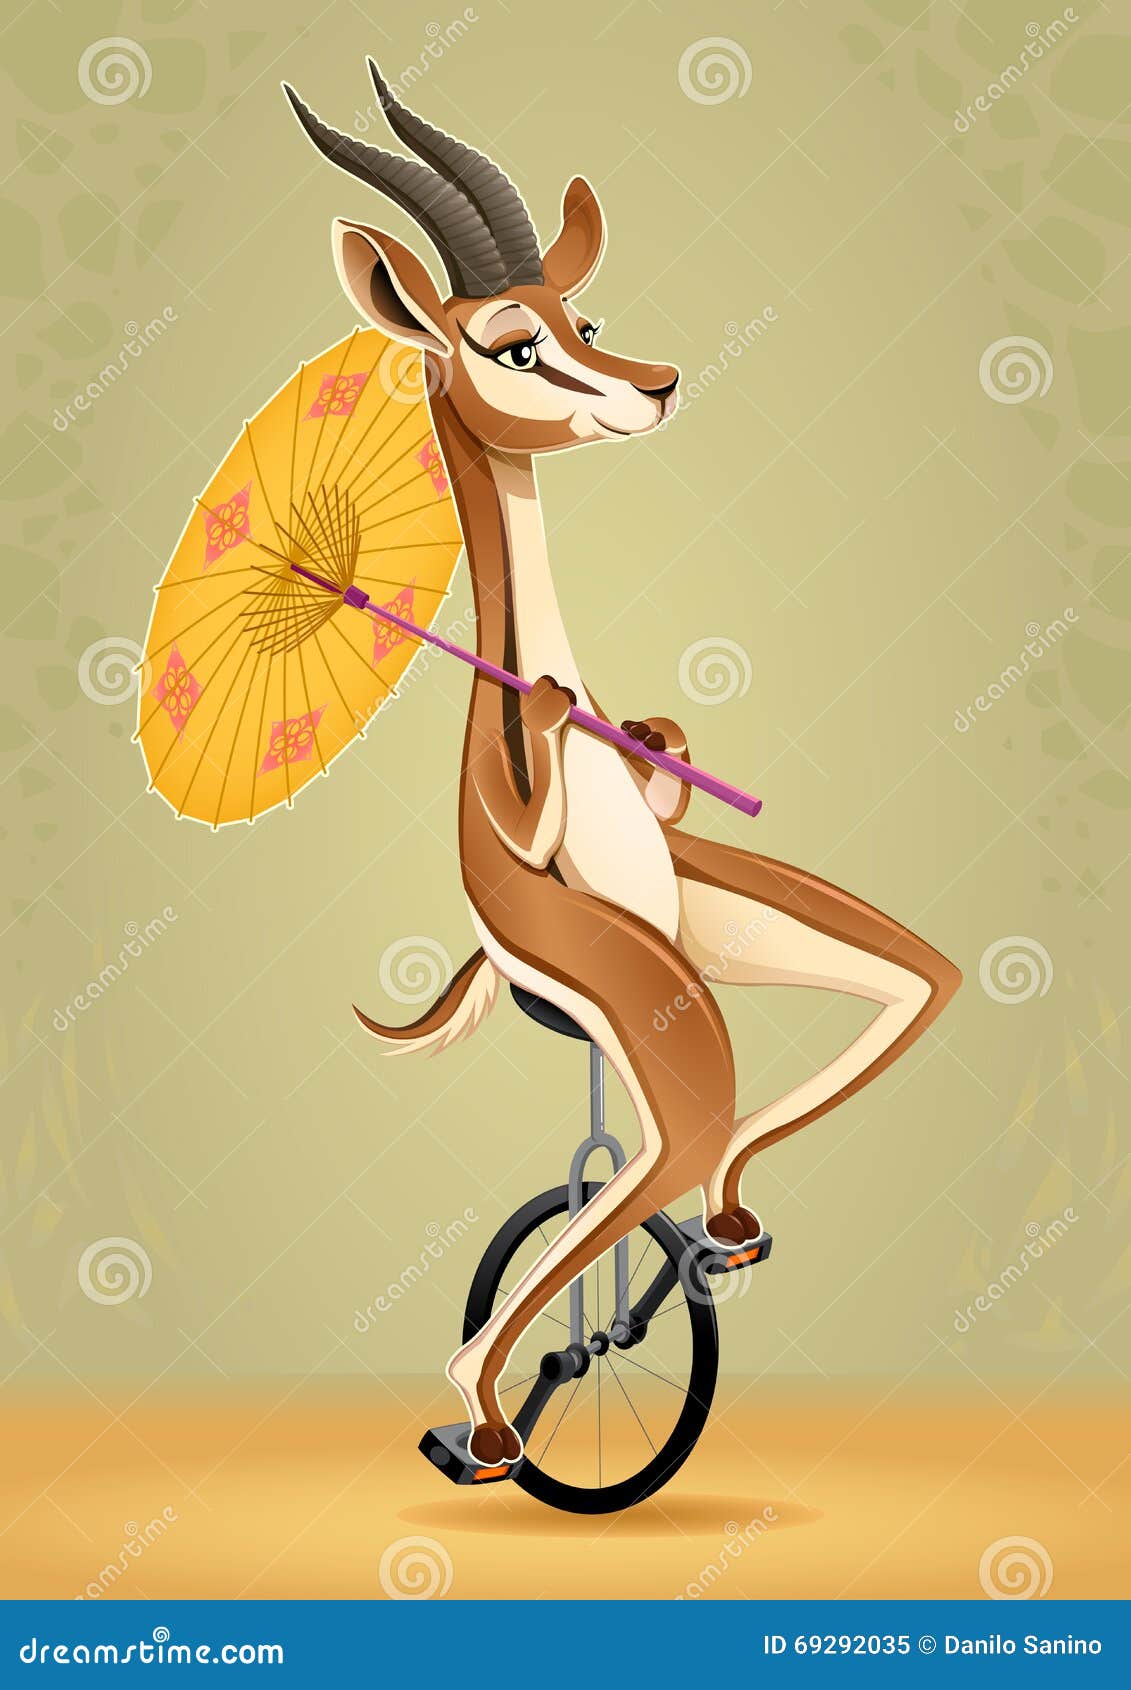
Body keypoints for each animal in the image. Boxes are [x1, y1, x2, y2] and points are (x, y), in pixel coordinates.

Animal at [286, 60, 961, 1467]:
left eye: (578, 314)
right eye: (510, 344)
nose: (655, 382)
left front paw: (656, 741)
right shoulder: (514, 812)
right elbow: (522, 779)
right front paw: (547, 715)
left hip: (721, 953)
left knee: (895, 999)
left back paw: (721, 1237)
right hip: (657, 1012)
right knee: (628, 1184)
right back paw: (499, 1420)